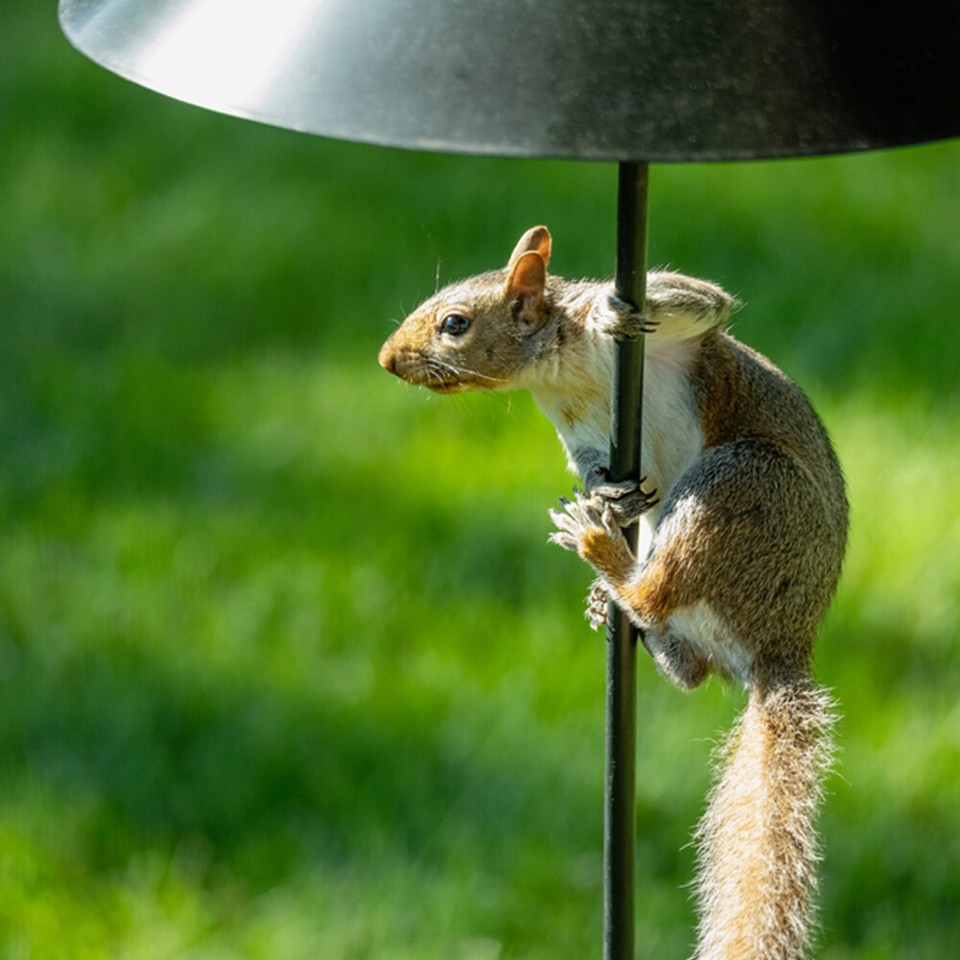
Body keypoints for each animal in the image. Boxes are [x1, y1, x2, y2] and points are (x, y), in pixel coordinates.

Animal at [378, 225, 848, 960]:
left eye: (455, 323)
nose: (387, 359)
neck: (559, 375)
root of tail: (782, 647)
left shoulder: (681, 338)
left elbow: (701, 301)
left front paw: (607, 313)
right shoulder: (583, 433)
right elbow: (596, 465)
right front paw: (605, 490)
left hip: (741, 485)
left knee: (662, 590)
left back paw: (605, 557)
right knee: (689, 663)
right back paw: (621, 602)